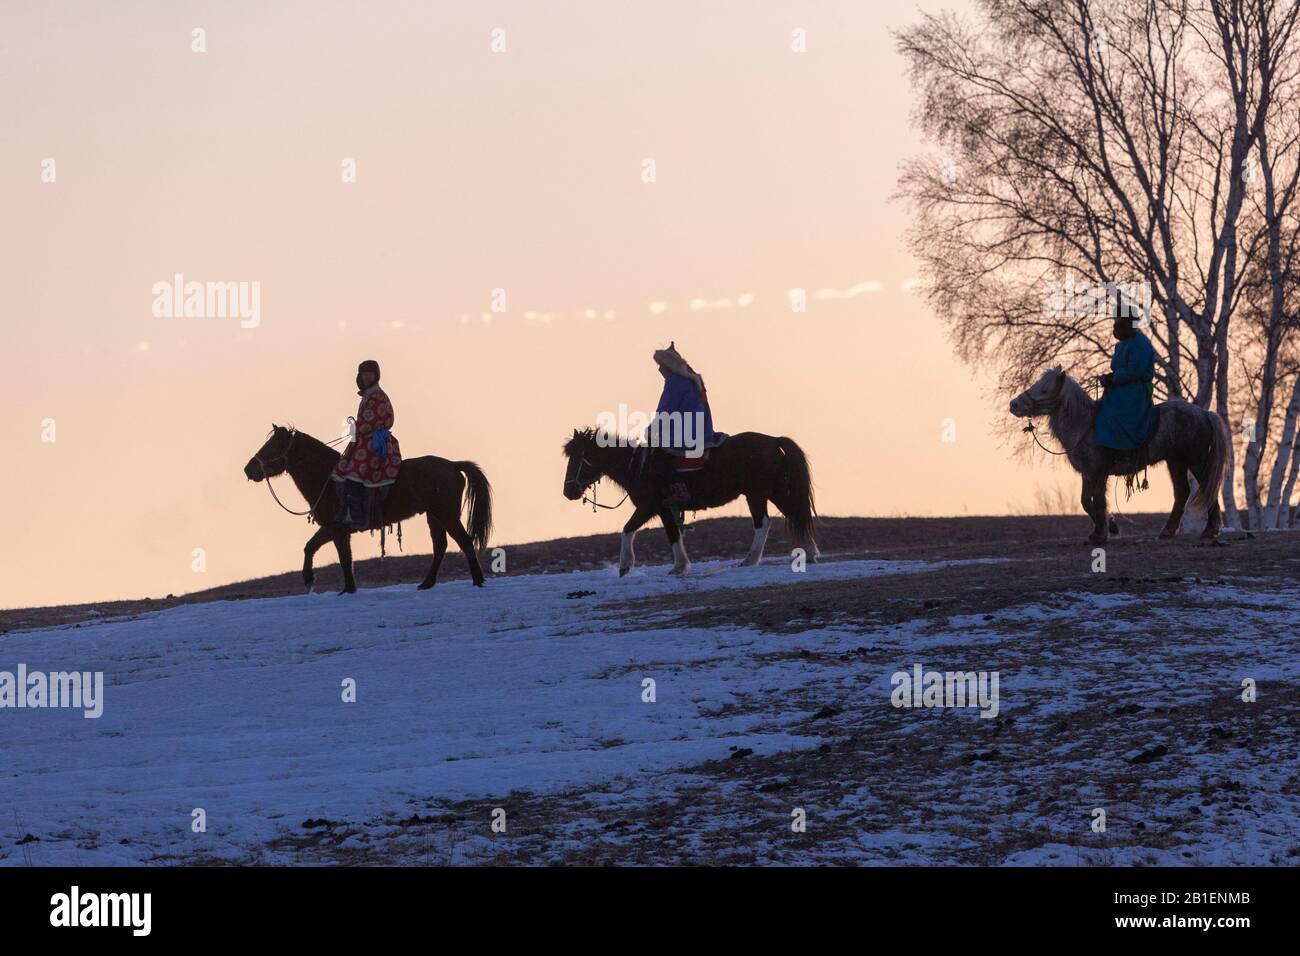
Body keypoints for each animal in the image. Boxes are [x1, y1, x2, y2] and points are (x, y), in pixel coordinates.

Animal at [244, 425, 492, 593]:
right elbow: (314, 548)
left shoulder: (336, 529)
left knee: (464, 541)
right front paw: (319, 581)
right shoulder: (333, 530)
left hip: (446, 515)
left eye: (271, 446)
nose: (249, 469)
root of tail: (453, 465)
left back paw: (478, 580)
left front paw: (338, 587)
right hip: (434, 516)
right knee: (440, 546)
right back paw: (426, 583)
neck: (327, 478)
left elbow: (342, 557)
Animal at [561, 428, 818, 576]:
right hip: (772, 491)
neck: (639, 467)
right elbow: (673, 535)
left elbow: (627, 529)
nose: (568, 491)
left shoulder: (649, 506)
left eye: (580, 458)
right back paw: (811, 553)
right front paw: (679, 566)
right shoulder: (665, 510)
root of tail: (774, 441)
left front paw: (625, 566)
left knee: (764, 523)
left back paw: (750, 560)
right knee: (794, 514)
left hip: (756, 493)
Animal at [1009, 367, 1229, 544]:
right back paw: (1168, 531)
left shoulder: (1099, 472)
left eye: (1044, 390)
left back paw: (1210, 530)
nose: (1014, 404)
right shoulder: (1088, 473)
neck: (1086, 425)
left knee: (1207, 487)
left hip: (1196, 460)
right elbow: (1085, 501)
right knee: (1182, 492)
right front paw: (1110, 525)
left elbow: (1098, 500)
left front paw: (1101, 534)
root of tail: (1204, 413)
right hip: (1176, 462)